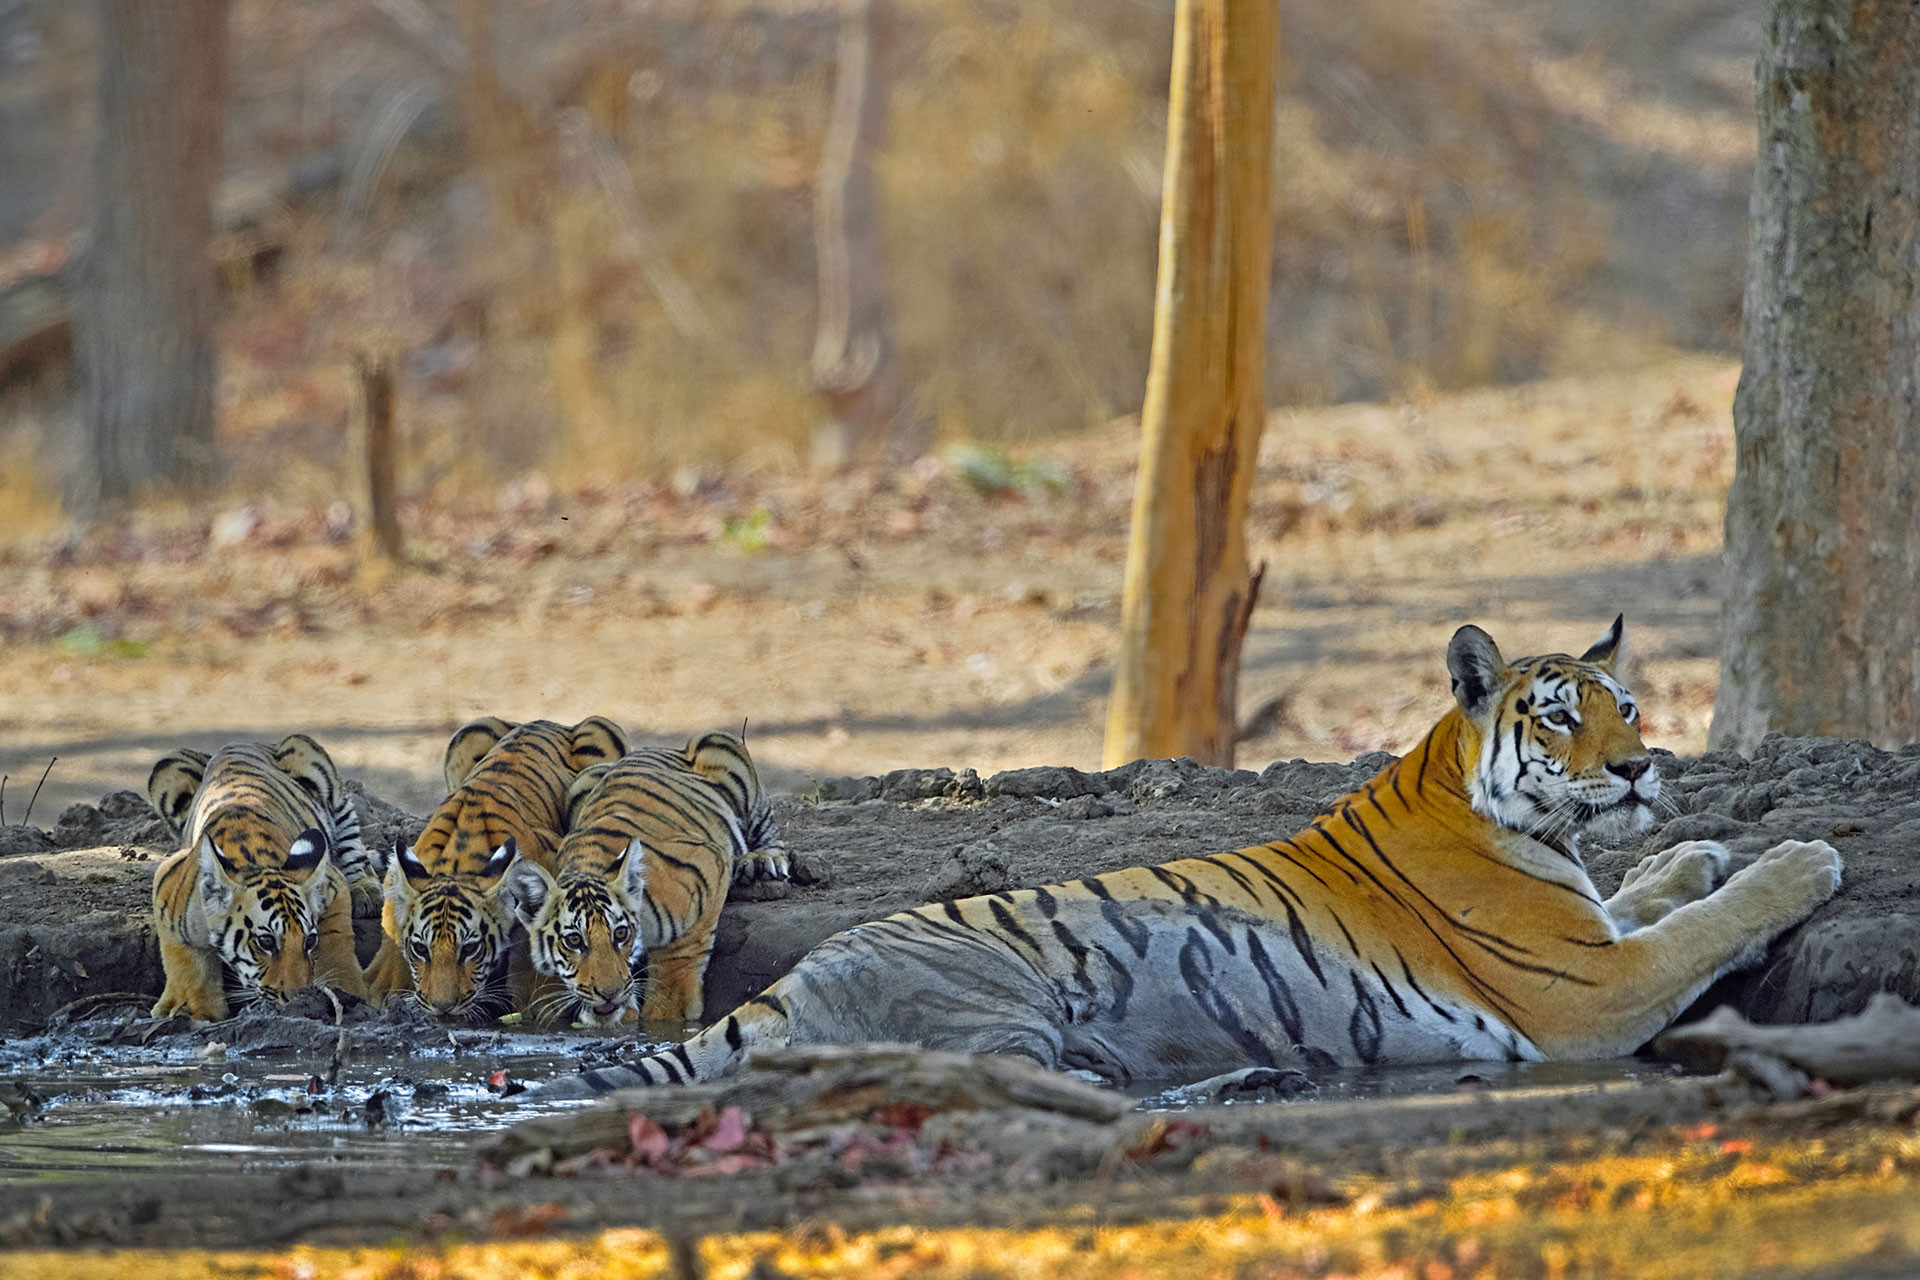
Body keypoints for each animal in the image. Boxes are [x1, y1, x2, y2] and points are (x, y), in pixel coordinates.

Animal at [147, 734, 373, 1020]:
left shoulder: (333, 884)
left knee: (353, 845)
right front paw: (189, 1008)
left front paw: (348, 991)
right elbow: (184, 958)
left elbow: (337, 939)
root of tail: (237, 742)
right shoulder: (167, 880)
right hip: (166, 768)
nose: (299, 996)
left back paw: (367, 891)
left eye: (309, 941)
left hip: (315, 763)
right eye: (266, 942)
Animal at [364, 715, 629, 1018]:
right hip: (470, 733)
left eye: (470, 949)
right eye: (421, 949)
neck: (458, 862)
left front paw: (539, 1002)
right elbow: (392, 921)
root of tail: (550, 722)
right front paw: (385, 987)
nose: (443, 1008)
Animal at [506, 729, 790, 1028]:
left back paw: (762, 861)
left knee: (767, 829)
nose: (609, 993)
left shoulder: (710, 860)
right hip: (583, 781)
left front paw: (671, 1010)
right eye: (573, 941)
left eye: (620, 934)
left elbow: (685, 946)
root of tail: (658, 748)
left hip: (720, 747)